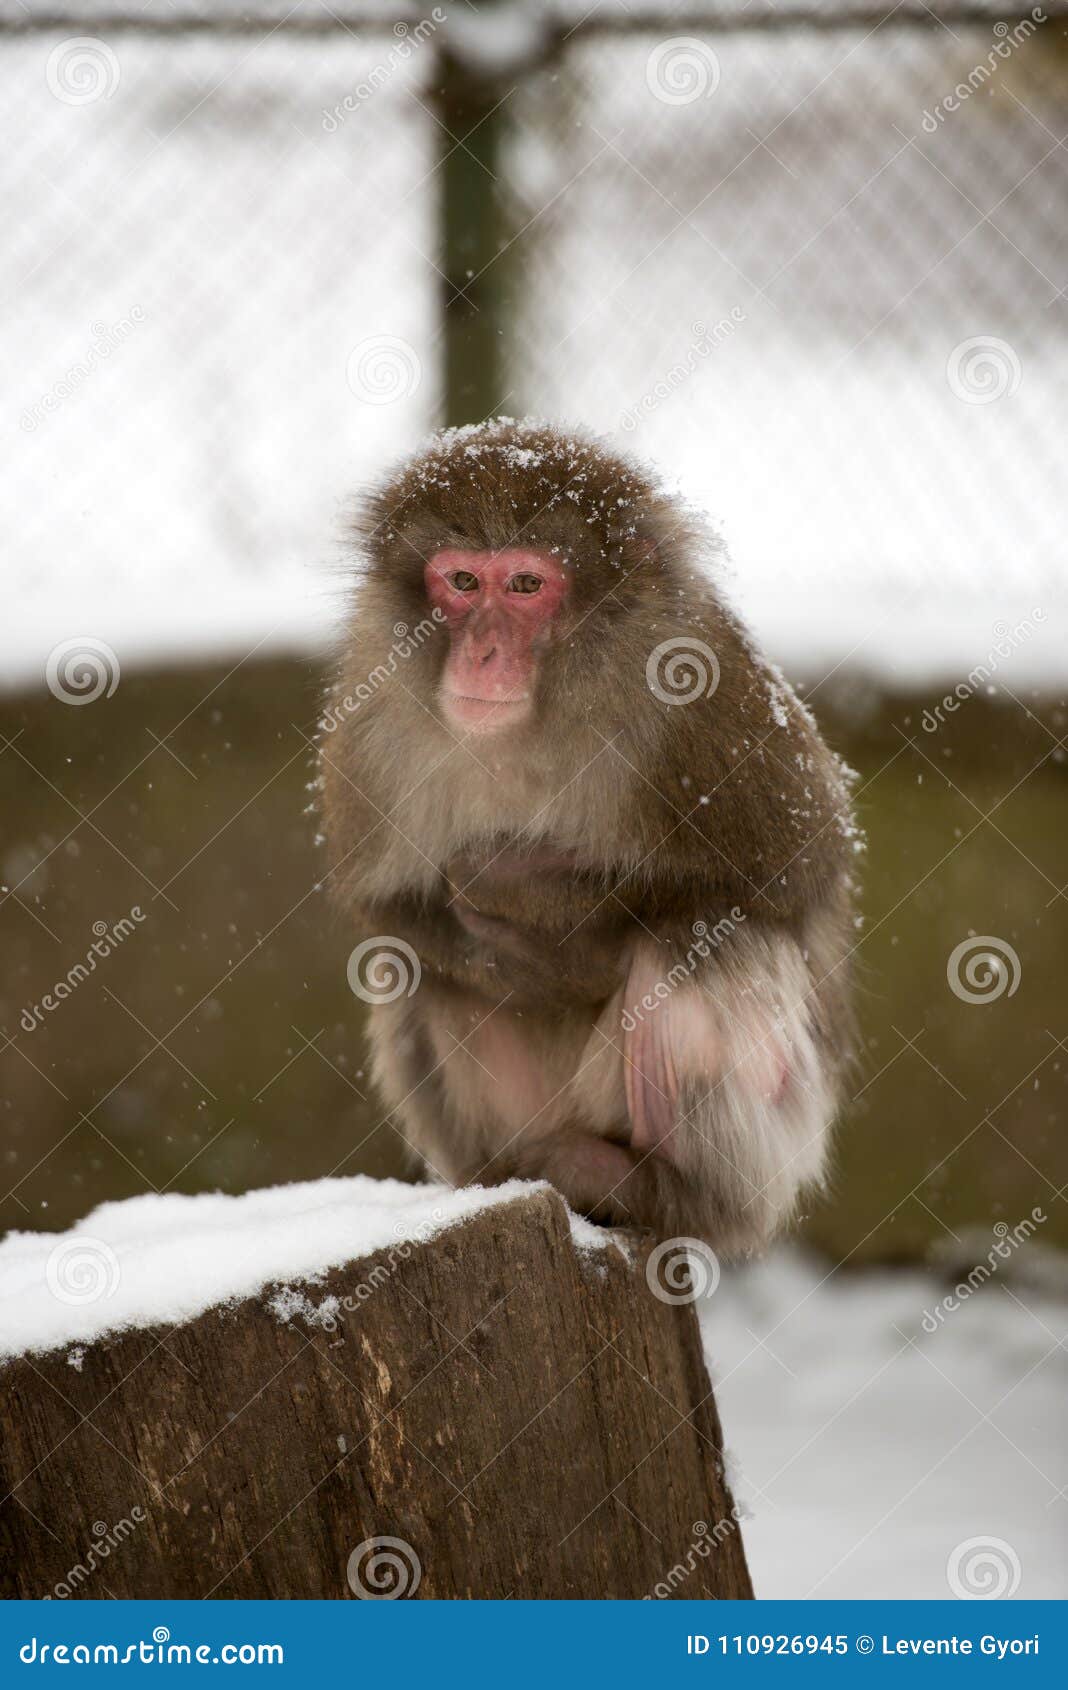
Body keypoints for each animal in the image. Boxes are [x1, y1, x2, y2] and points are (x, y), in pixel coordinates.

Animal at [319, 417, 859, 1256]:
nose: (483, 651)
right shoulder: (368, 725)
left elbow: (798, 864)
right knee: (414, 966)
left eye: (525, 586)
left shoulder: (705, 693)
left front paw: (519, 887)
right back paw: (507, 1174)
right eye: (462, 583)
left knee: (700, 935)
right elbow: (388, 909)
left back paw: (656, 1192)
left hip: (761, 1150)